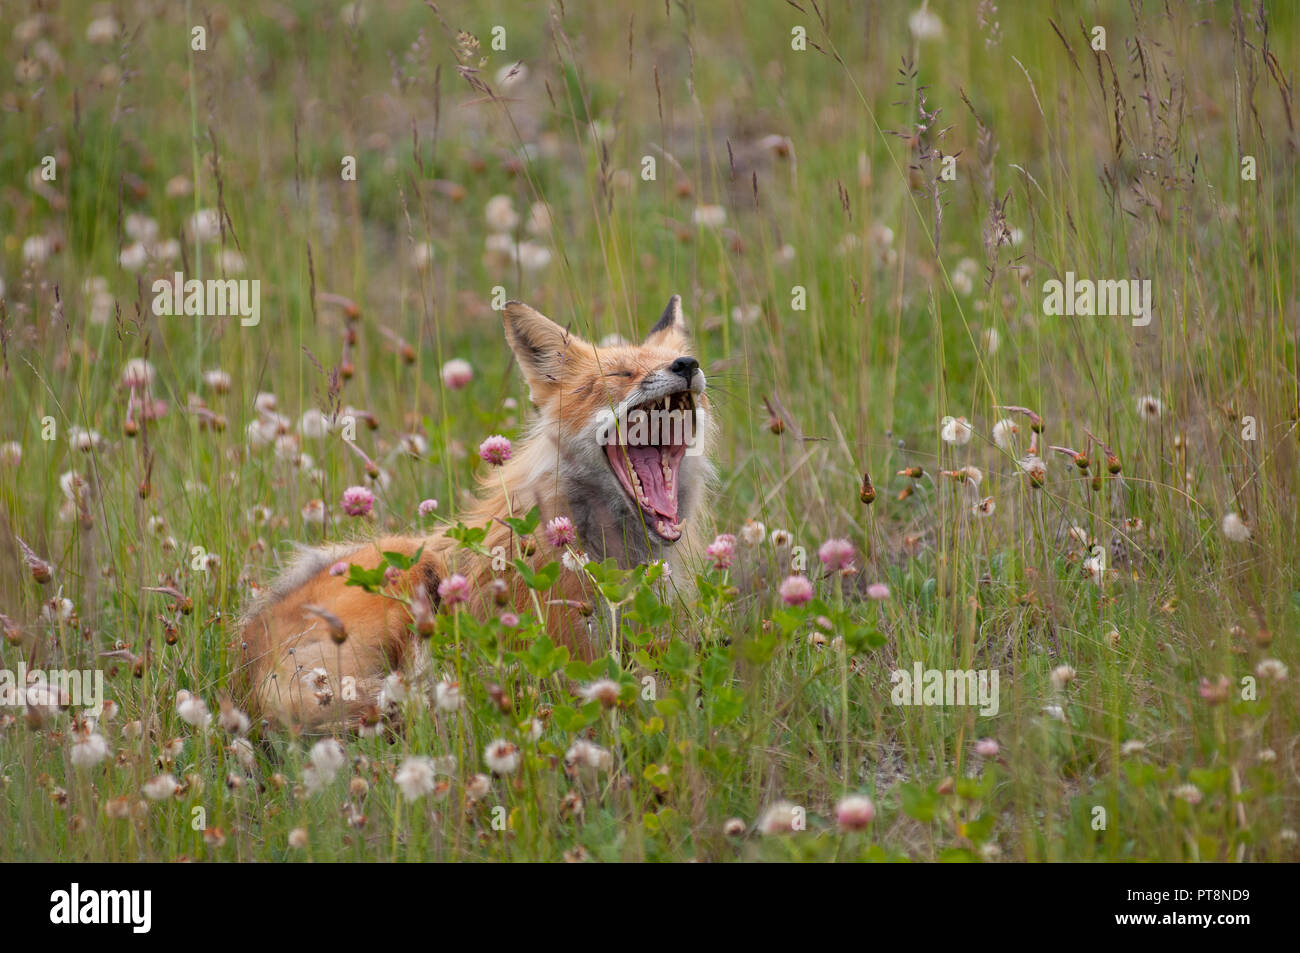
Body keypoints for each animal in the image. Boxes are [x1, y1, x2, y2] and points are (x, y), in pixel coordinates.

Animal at [238, 295, 715, 729]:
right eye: (619, 375)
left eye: (673, 360)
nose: (686, 364)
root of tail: (250, 652)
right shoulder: (568, 649)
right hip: (405, 572)